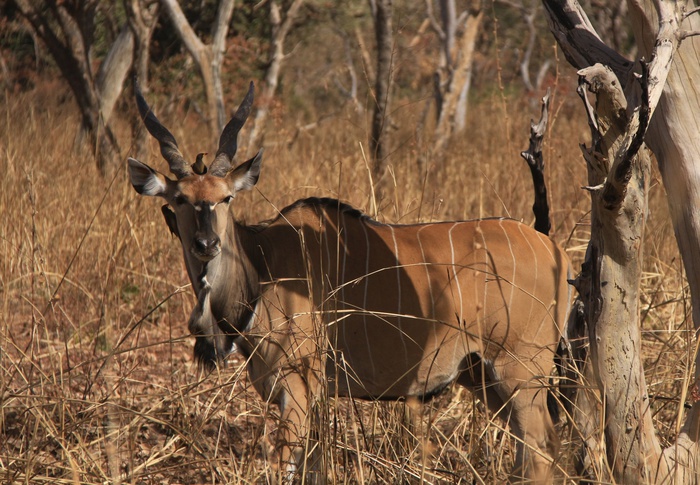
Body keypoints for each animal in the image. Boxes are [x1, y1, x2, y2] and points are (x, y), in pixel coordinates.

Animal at [128, 80, 572, 484]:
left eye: (226, 198)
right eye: (180, 199)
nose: (207, 243)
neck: (261, 263)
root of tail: (555, 249)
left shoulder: (298, 385)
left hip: (521, 370)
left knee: (542, 448)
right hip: (482, 374)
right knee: (529, 450)